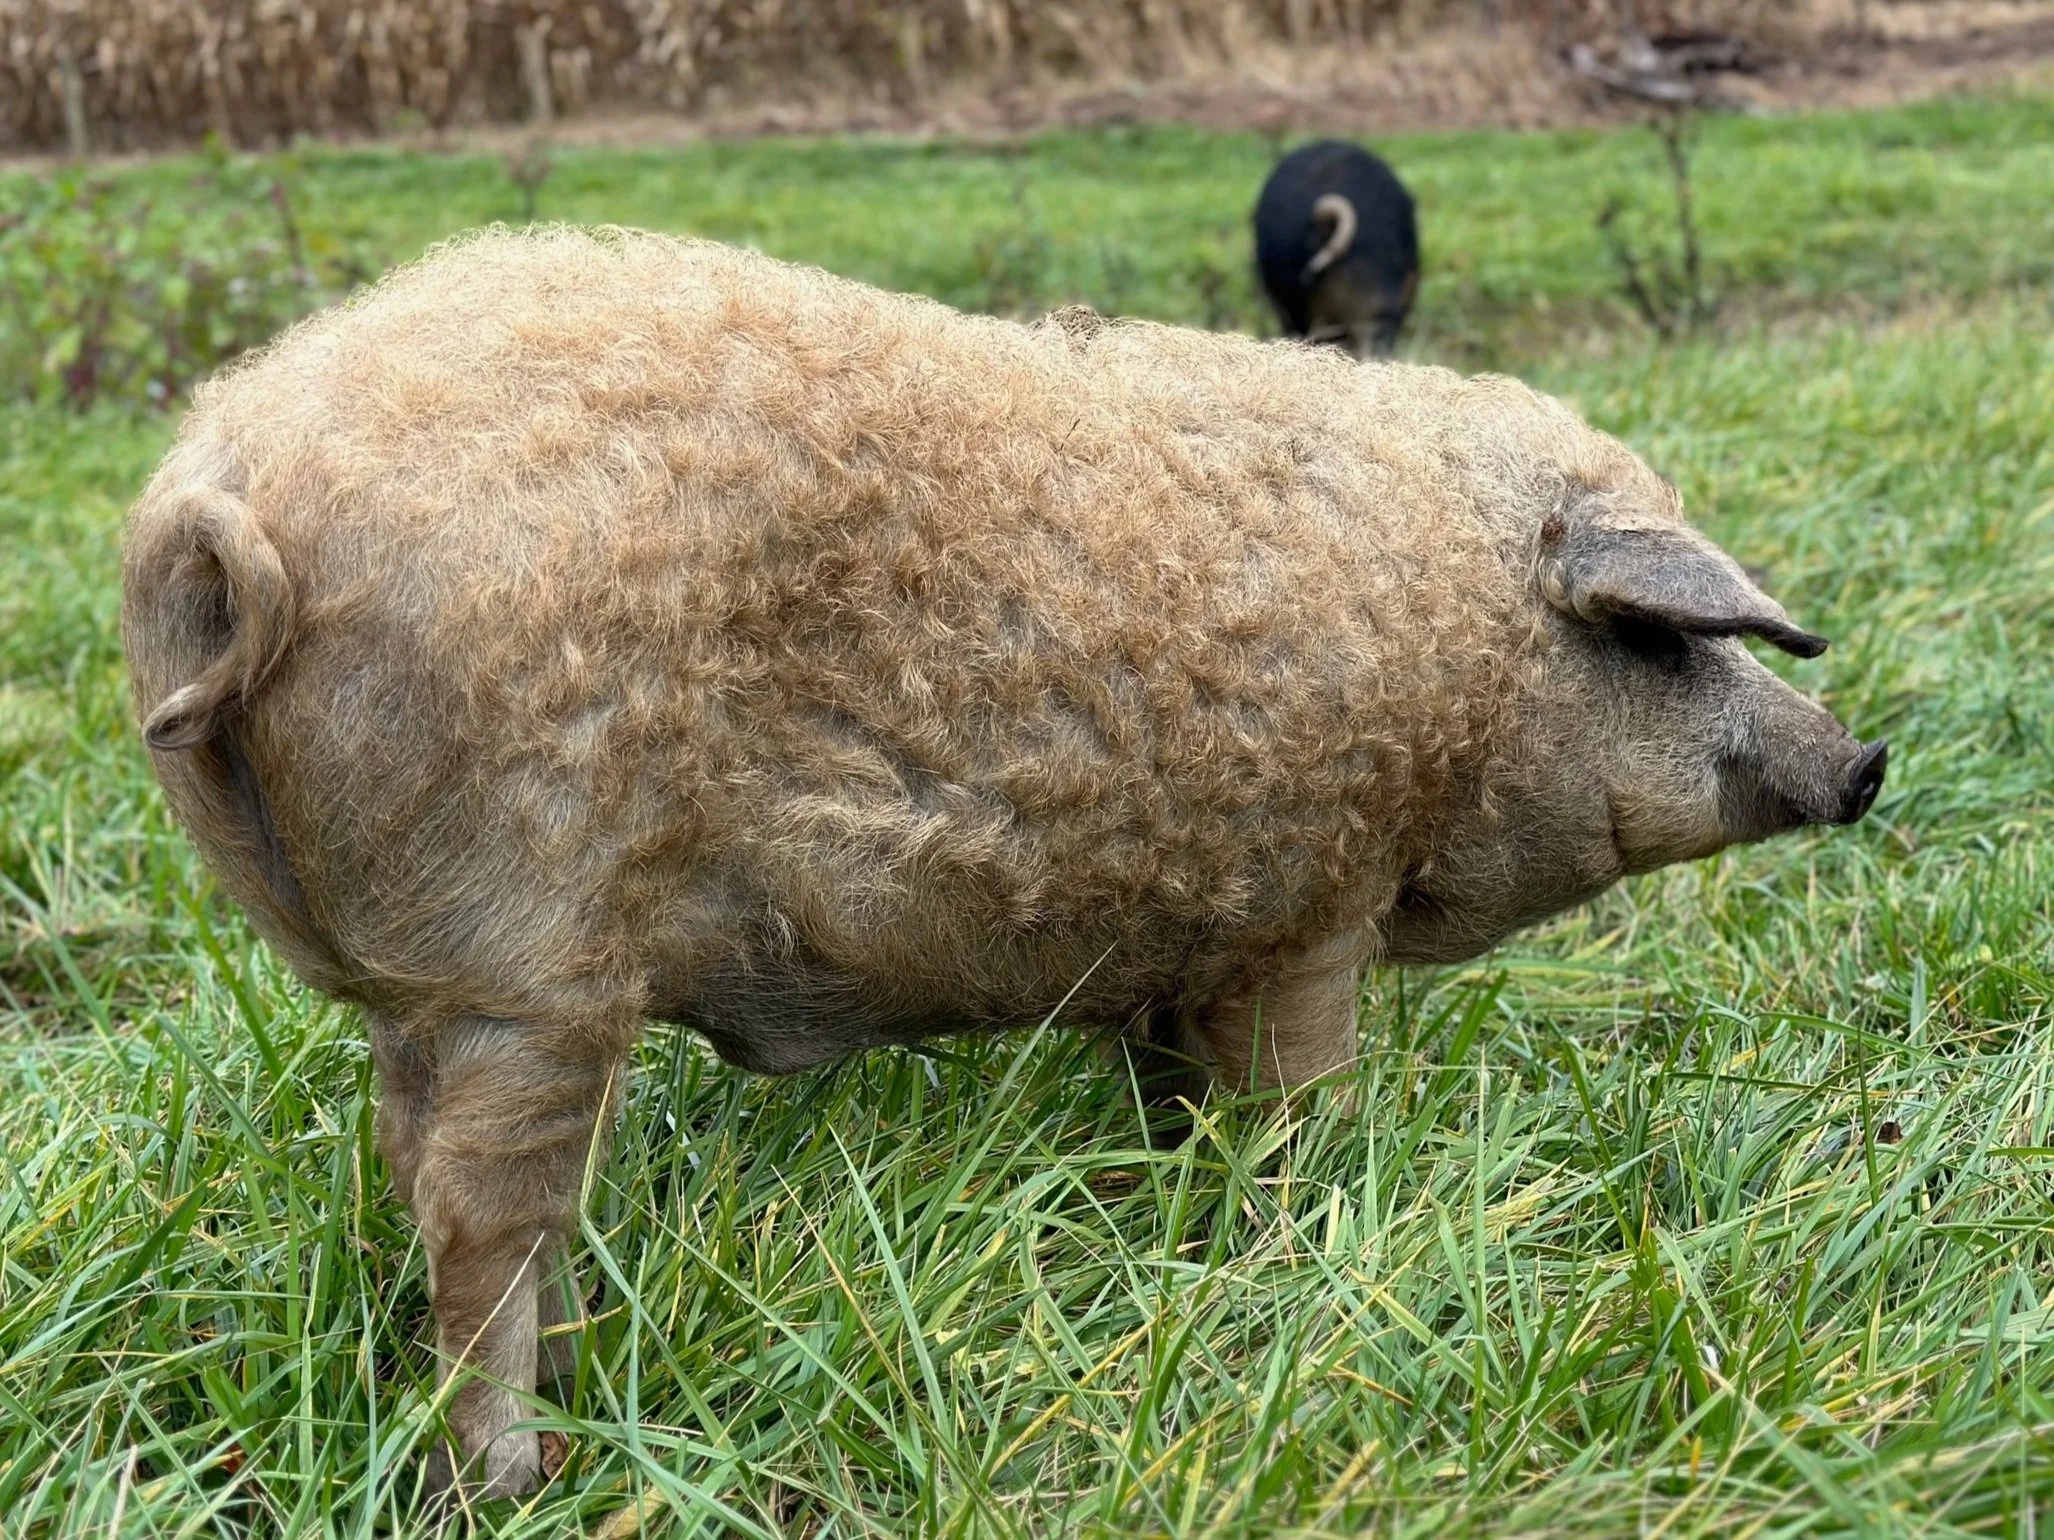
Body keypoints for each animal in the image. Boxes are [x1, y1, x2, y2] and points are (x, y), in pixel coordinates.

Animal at [121, 227, 1885, 1499]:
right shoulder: (1306, 912)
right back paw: (520, 1467)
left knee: (422, 1162)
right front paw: (1311, 1235)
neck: (1454, 670)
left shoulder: (1186, 941)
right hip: (527, 954)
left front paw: (1173, 1214)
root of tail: (217, 500)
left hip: (426, 983)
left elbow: (1177, 1103)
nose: (1858, 759)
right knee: (481, 1212)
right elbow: (1295, 1110)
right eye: (1662, 641)